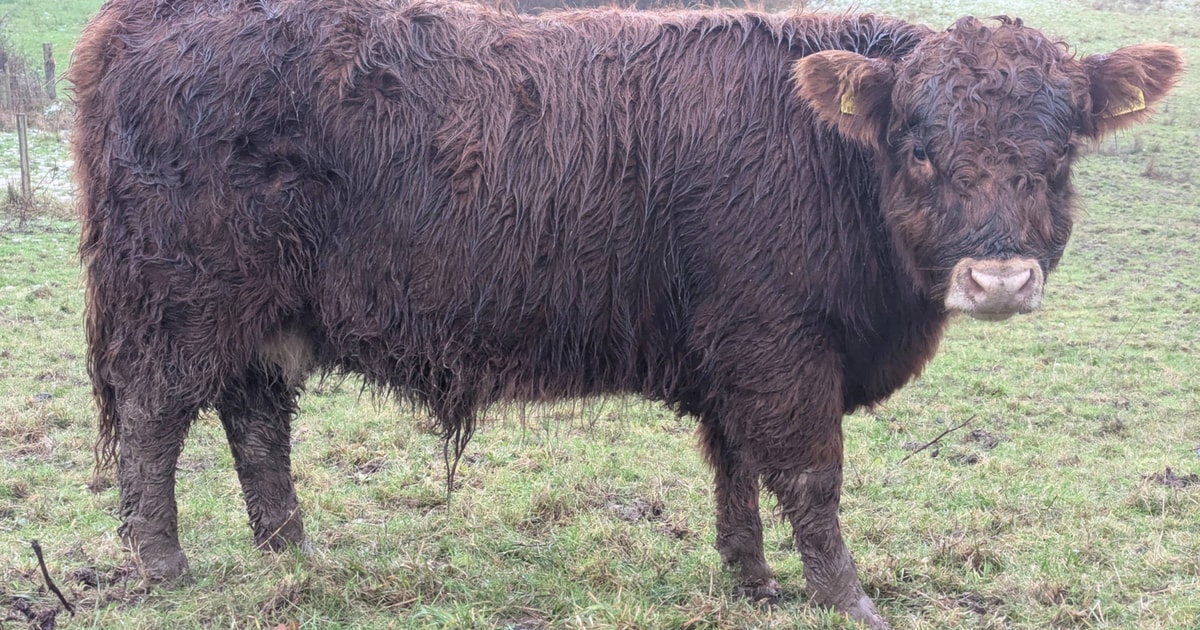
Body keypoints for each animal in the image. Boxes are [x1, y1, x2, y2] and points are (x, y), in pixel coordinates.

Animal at [69, 0, 1181, 627]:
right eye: (919, 149)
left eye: (1060, 152)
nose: (998, 279)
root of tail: (144, 20)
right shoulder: (781, 345)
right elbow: (809, 475)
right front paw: (847, 599)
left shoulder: (736, 348)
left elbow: (738, 467)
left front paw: (750, 581)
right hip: (180, 301)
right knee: (157, 421)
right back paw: (163, 563)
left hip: (268, 315)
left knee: (256, 423)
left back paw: (293, 553)